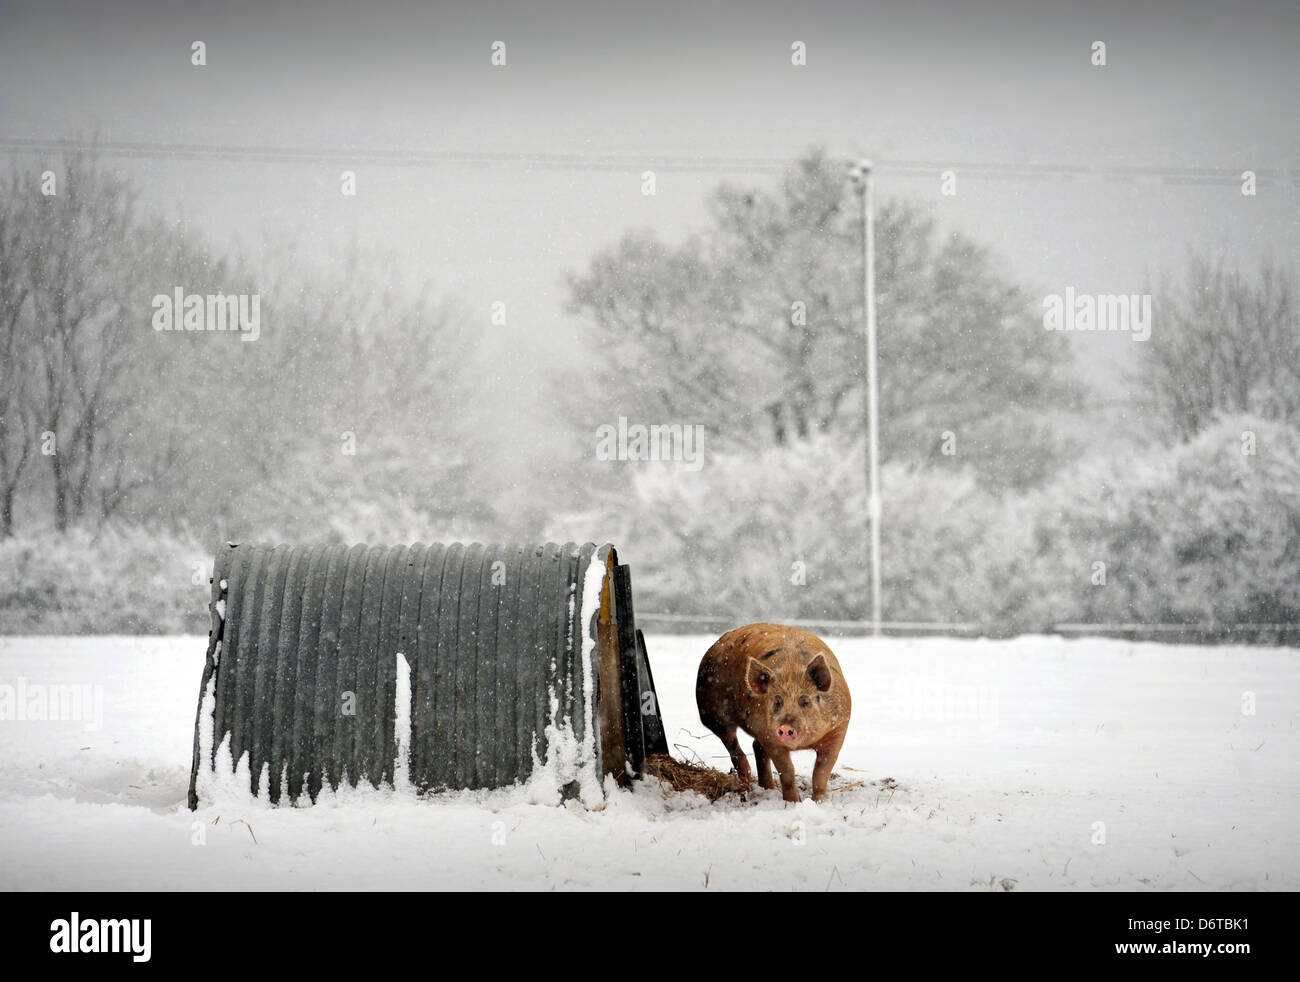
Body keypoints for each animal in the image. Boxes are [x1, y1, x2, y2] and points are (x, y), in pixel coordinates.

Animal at [696, 623, 851, 802]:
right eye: (777, 701)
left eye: (805, 701)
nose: (785, 727)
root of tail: (716, 644)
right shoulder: (770, 737)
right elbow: (787, 771)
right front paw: (794, 802)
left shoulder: (838, 730)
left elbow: (821, 773)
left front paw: (818, 801)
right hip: (712, 713)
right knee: (733, 745)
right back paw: (748, 782)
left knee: (756, 746)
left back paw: (767, 788)